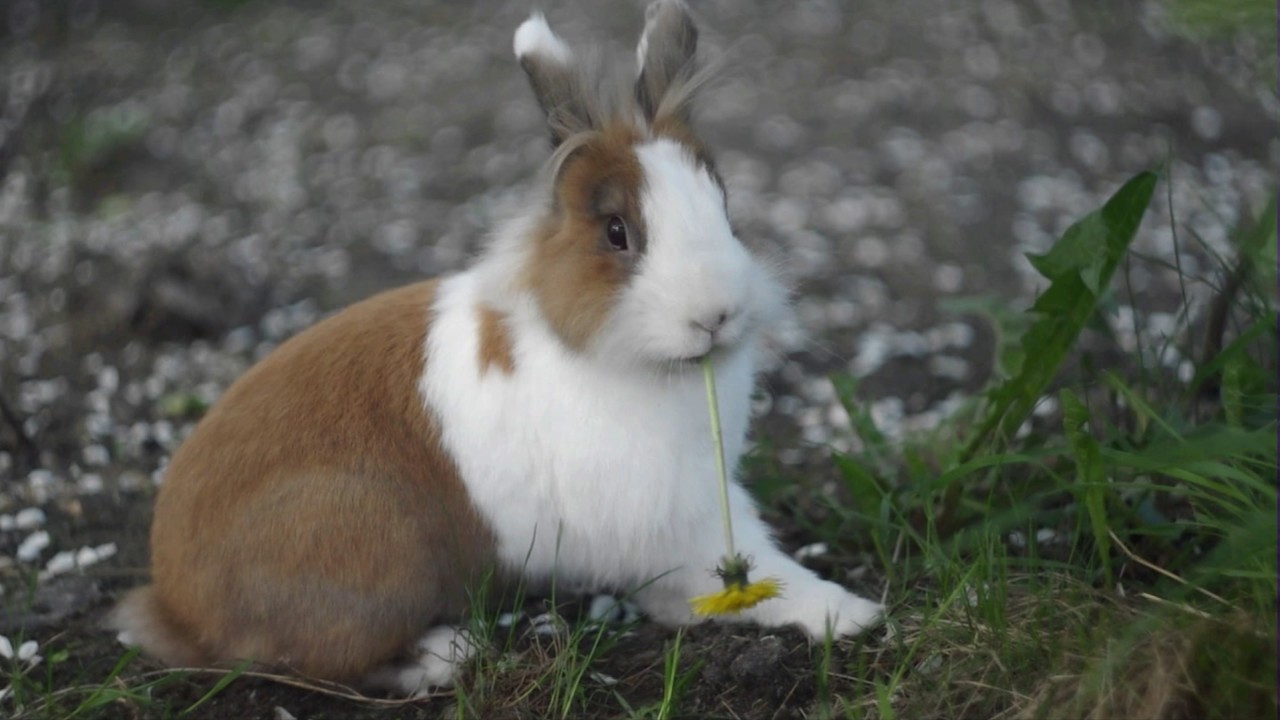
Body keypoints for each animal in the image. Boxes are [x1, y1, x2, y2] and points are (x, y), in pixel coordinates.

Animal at [109, 0, 883, 697]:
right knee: (314, 662)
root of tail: (175, 601)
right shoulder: (683, 511)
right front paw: (851, 613)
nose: (717, 314)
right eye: (616, 234)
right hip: (373, 555)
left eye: (724, 207)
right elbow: (762, 570)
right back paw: (443, 655)